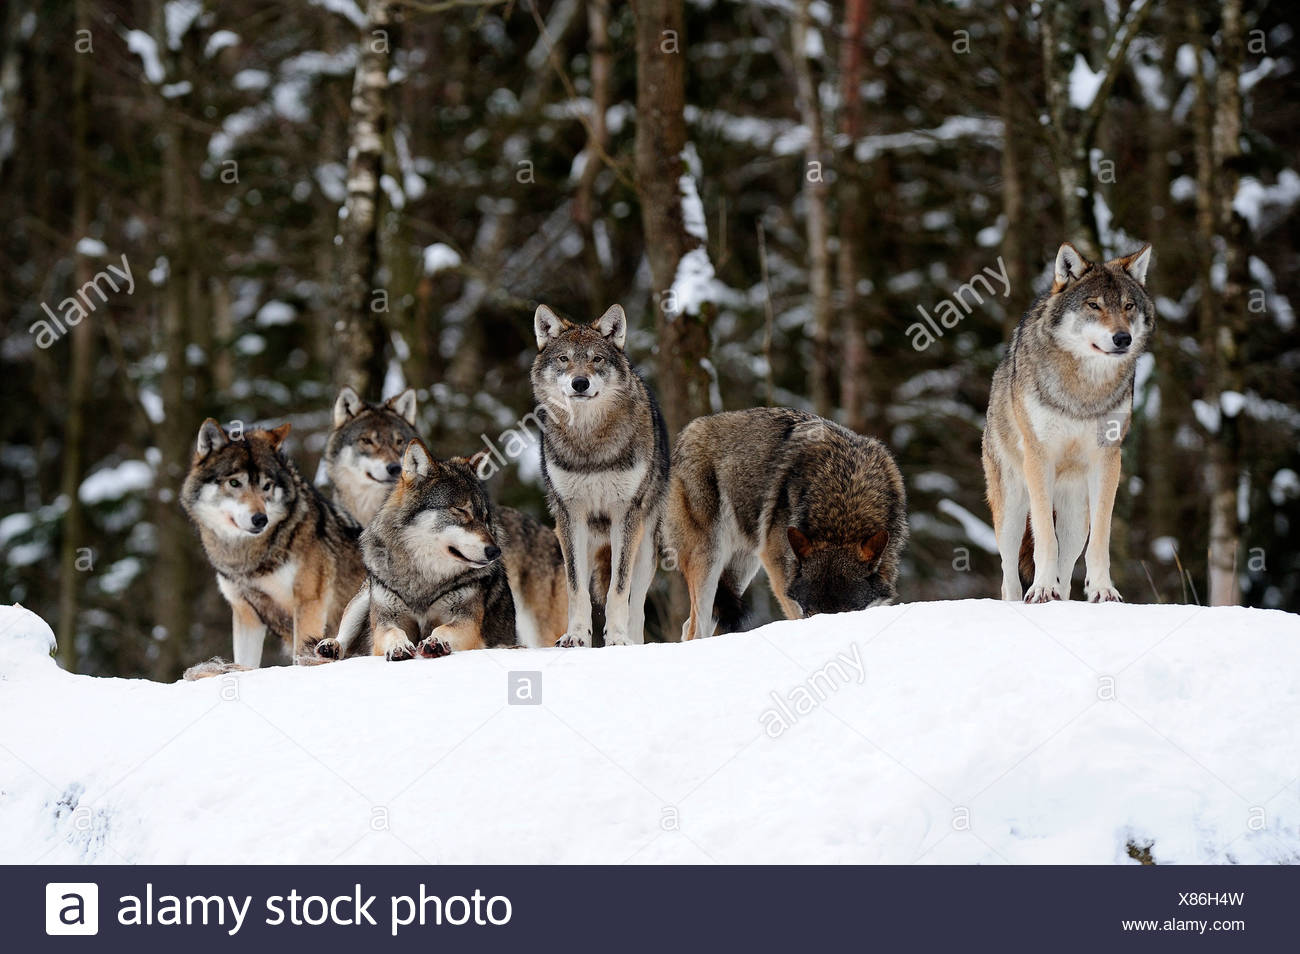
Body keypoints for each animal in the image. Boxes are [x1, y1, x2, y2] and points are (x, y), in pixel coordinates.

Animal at [181, 420, 365, 666]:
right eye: (234, 482)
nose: (260, 519)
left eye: (267, 486)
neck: (247, 560)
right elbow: (246, 663)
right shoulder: (245, 612)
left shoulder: (309, 602)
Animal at [317, 441, 518, 661]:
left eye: (485, 517)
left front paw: (435, 641)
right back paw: (329, 646)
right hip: (362, 599)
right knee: (344, 638)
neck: (424, 578)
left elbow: (443, 629)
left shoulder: (467, 622)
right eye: (460, 510)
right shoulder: (385, 621)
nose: (495, 551)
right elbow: (393, 632)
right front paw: (399, 647)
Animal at [531, 303, 669, 646]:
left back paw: (634, 640)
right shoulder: (569, 516)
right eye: (564, 359)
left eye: (597, 359)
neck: (589, 442)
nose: (580, 383)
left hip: (645, 546)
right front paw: (576, 636)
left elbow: (618, 590)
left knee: (638, 604)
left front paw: (617, 638)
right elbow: (576, 588)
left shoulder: (626, 515)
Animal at [669, 408, 907, 639]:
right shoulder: (779, 567)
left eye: (847, 615)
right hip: (710, 560)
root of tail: (688, 431)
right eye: (811, 613)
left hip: (739, 571)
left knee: (690, 626)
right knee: (694, 630)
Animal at [982, 241, 1153, 603]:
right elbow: (1045, 539)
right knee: (1008, 573)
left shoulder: (1107, 459)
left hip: (1076, 517)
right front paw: (1041, 589)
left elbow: (1101, 540)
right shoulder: (1039, 458)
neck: (1083, 391)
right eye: (1094, 305)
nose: (1123, 338)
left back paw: (1061, 594)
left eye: (1128, 305)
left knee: (1068, 562)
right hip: (1012, 511)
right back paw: (1023, 598)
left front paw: (1103, 589)